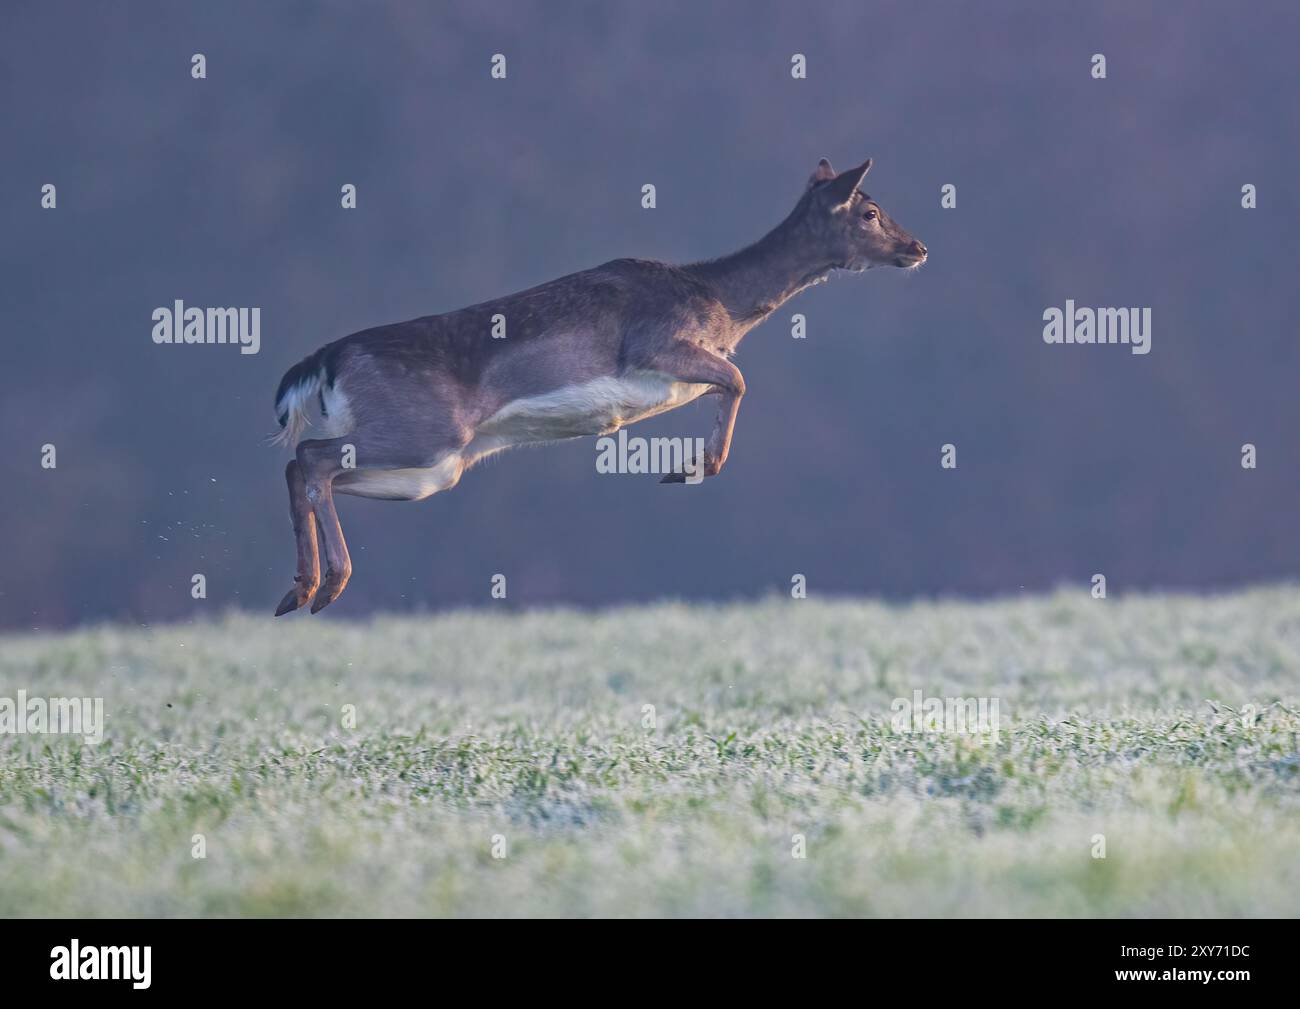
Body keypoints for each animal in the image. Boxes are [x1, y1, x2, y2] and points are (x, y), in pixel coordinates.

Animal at [270, 155, 927, 614]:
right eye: (869, 211)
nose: (918, 246)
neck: (723, 304)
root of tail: (325, 361)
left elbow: (733, 380)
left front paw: (687, 466)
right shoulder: (653, 345)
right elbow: (739, 378)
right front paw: (690, 468)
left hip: (431, 470)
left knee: (304, 463)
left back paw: (299, 591)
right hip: (424, 432)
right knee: (310, 456)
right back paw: (328, 586)